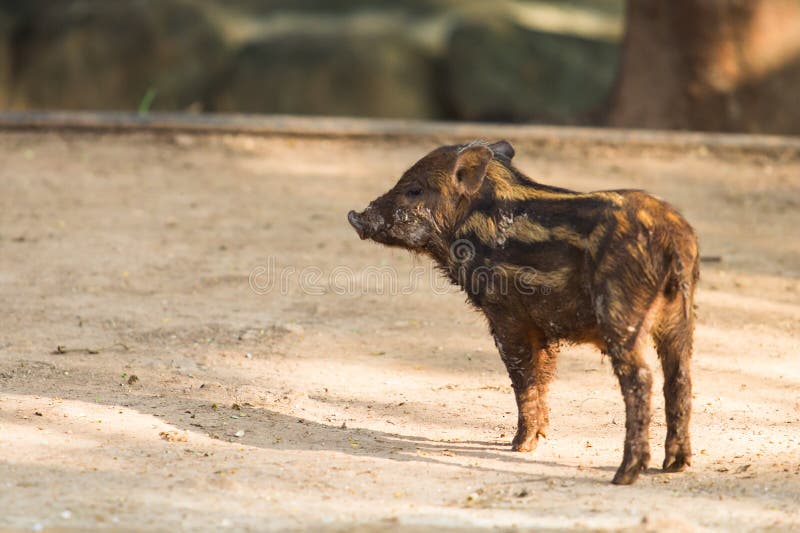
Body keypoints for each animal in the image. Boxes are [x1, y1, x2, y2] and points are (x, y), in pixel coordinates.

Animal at [347, 140, 699, 485]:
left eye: (415, 189)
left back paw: (624, 474)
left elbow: (522, 376)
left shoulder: (505, 313)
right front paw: (536, 438)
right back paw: (675, 465)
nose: (354, 215)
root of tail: (672, 238)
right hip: (679, 319)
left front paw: (519, 446)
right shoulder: (543, 327)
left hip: (622, 313)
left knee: (641, 379)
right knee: (679, 377)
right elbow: (543, 374)